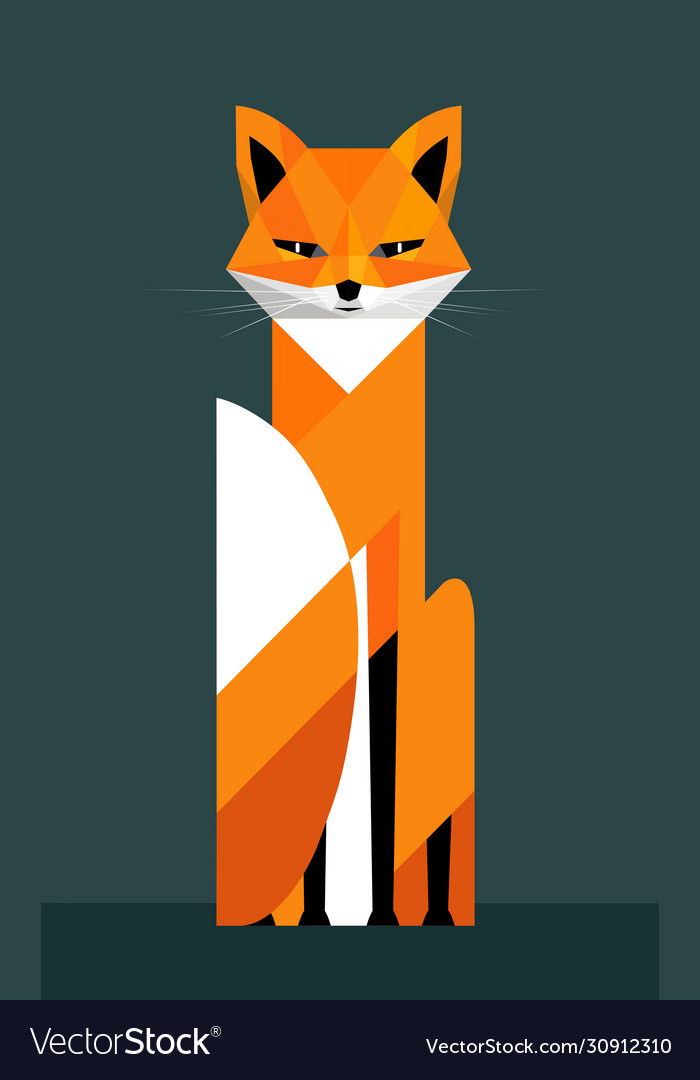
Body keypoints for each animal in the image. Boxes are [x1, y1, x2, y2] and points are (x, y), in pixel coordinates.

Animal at [217, 106, 475, 927]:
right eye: (301, 249)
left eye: (398, 248)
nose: (350, 286)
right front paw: (310, 920)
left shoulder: (390, 621)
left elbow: (385, 785)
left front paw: (383, 918)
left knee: (439, 833)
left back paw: (432, 916)